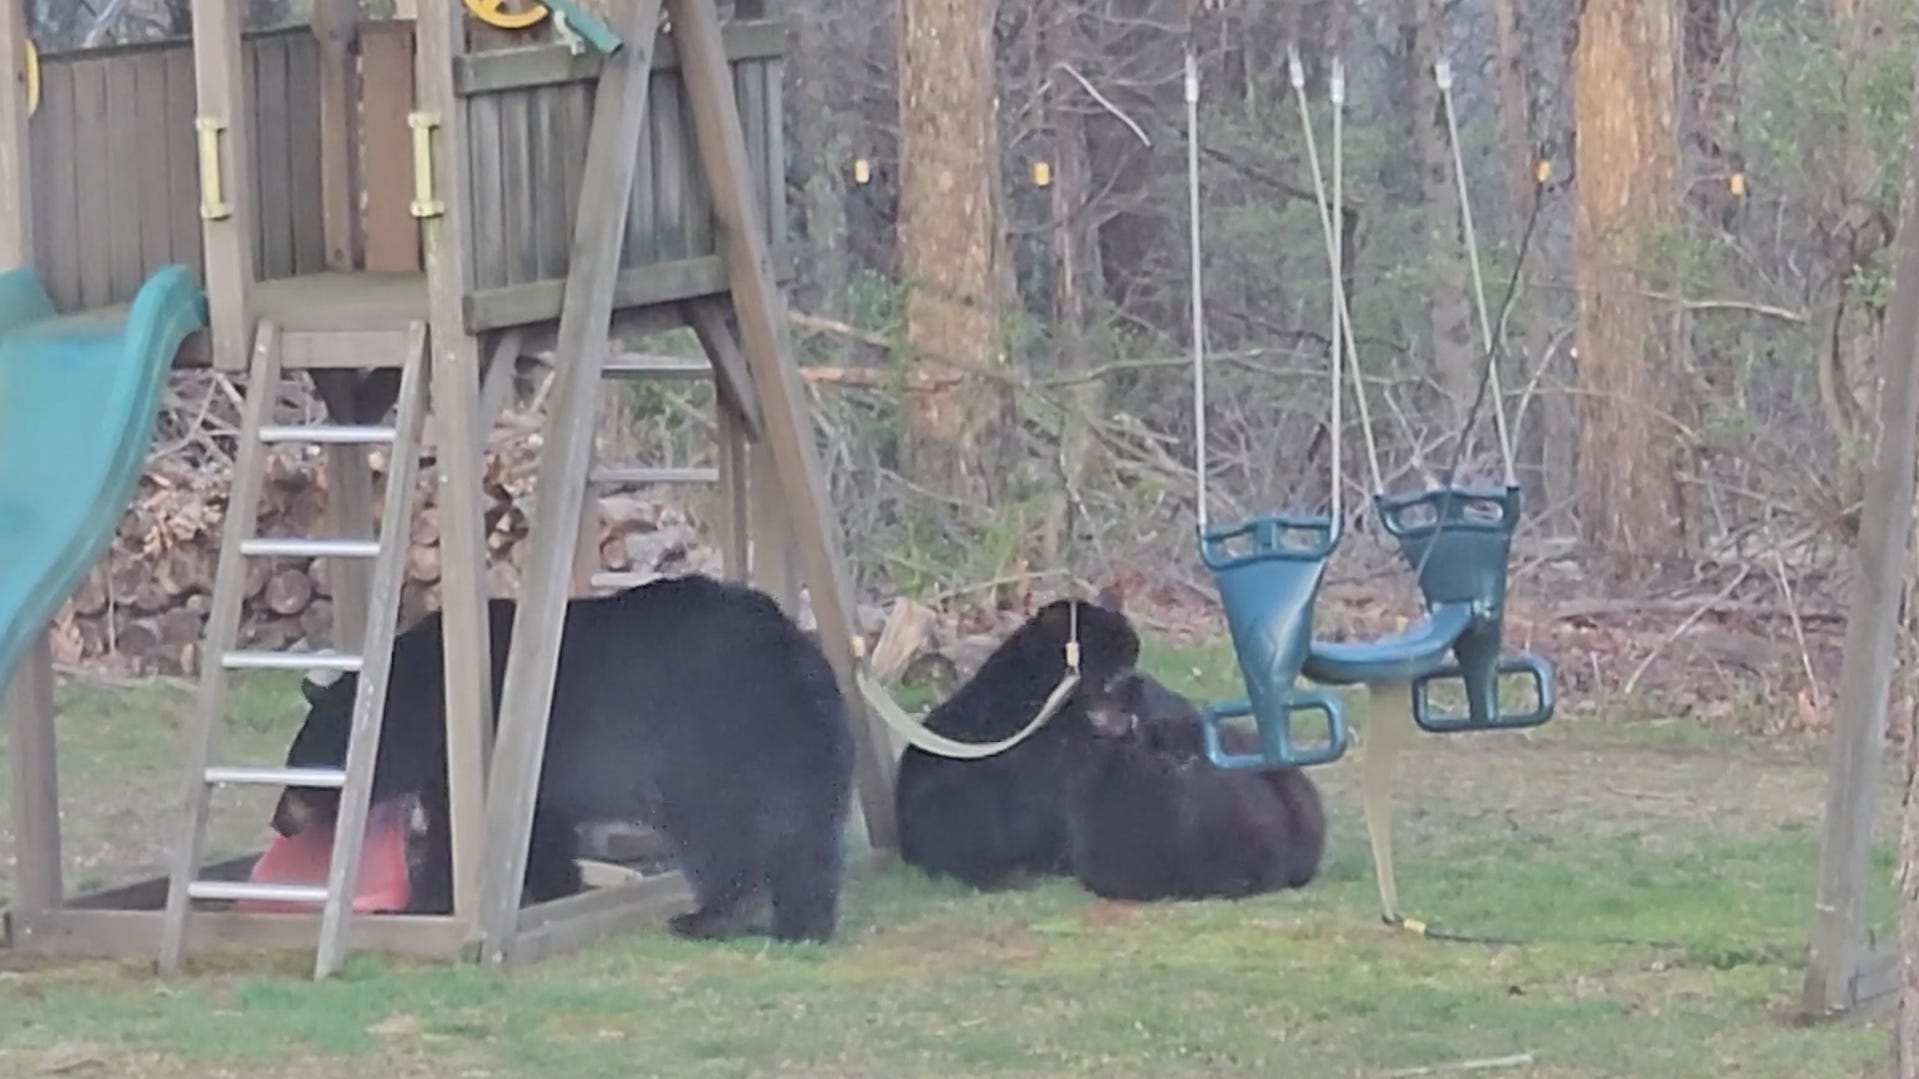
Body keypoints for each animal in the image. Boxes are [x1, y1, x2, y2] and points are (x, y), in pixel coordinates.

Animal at [272, 573, 856, 943]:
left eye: (298, 766)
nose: (279, 821)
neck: (421, 697)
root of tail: (796, 653)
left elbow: (453, 838)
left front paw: (421, 902)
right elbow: (544, 829)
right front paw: (557, 887)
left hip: (716, 743)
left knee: (722, 834)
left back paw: (705, 917)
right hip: (800, 751)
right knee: (809, 837)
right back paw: (804, 924)